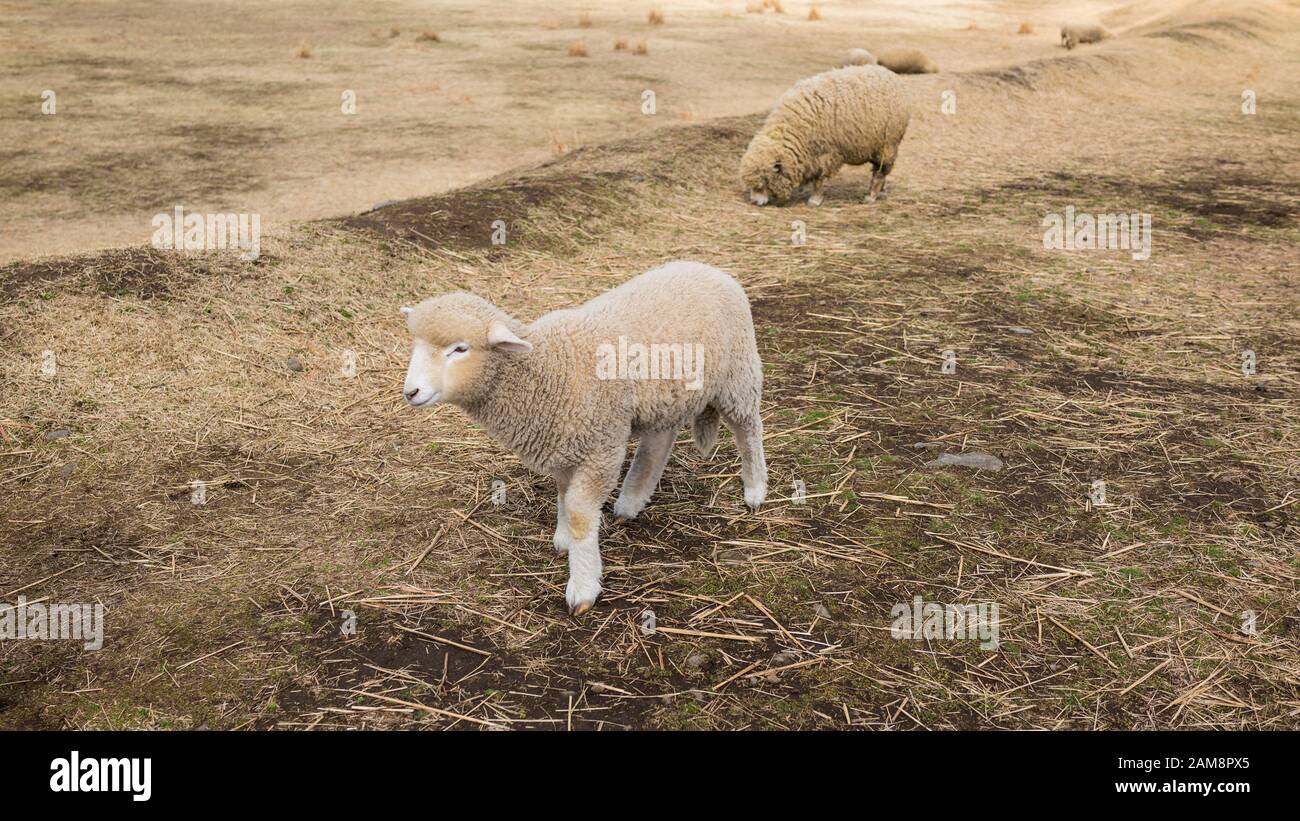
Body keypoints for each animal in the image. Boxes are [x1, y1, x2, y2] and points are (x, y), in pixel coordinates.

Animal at [400, 261, 767, 615]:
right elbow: (564, 494)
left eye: (459, 349)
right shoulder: (565, 446)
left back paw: (754, 489)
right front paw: (563, 538)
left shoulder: (600, 448)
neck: (547, 369)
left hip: (737, 374)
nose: (411, 392)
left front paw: (583, 584)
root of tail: (708, 268)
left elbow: (579, 512)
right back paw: (632, 500)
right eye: (416, 345)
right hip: (666, 396)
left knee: (748, 429)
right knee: (659, 441)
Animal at [740, 65, 909, 207]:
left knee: (880, 172)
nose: (754, 202)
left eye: (762, 182)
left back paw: (871, 196)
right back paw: (881, 191)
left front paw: (815, 199)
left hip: (888, 144)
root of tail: (890, 74)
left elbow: (818, 179)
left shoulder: (824, 154)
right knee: (881, 169)